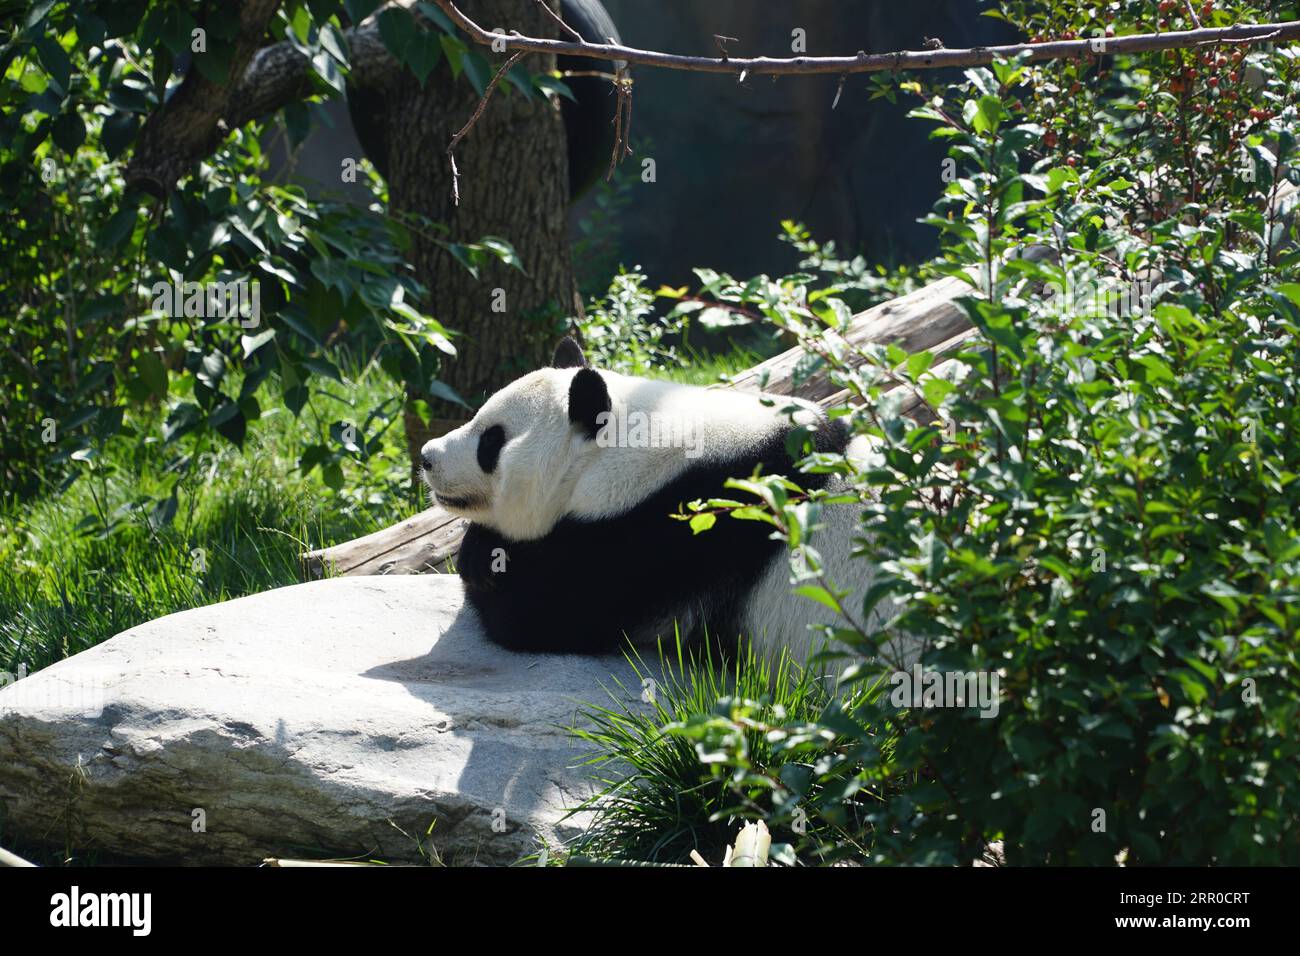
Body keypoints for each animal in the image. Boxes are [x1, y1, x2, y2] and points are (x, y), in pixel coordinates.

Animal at [419, 338, 897, 670]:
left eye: (491, 441)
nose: (426, 457)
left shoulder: (680, 532)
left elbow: (542, 614)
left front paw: (485, 559)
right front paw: (482, 549)